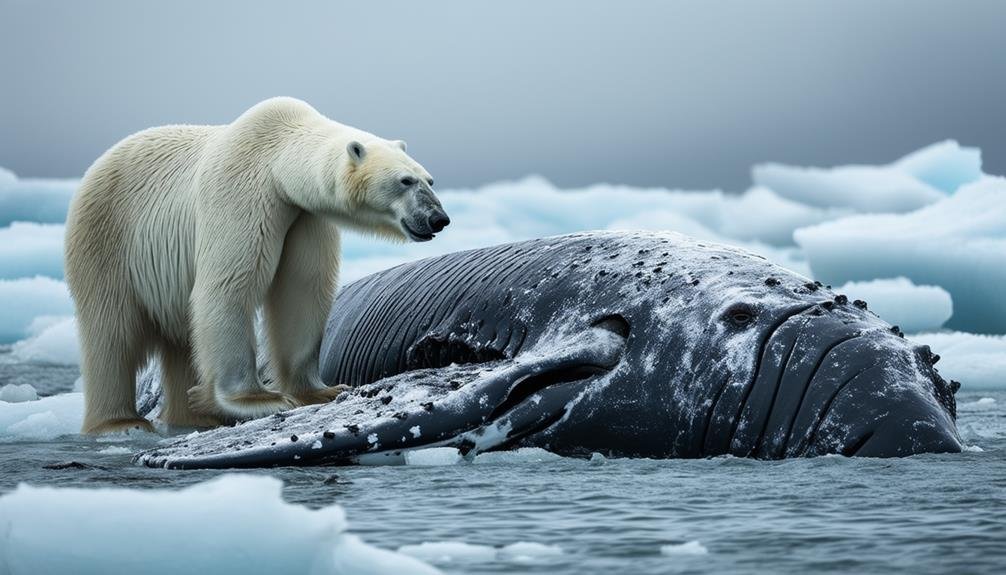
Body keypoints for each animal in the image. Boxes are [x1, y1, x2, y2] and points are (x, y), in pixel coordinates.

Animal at [64, 97, 450, 434]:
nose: (438, 219)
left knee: (180, 338)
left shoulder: (302, 215)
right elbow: (228, 285)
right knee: (111, 328)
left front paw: (324, 390)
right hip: (107, 236)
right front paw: (256, 399)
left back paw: (194, 416)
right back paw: (120, 422)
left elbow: (303, 290)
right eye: (405, 181)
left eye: (429, 179)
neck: (276, 156)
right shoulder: (242, 194)